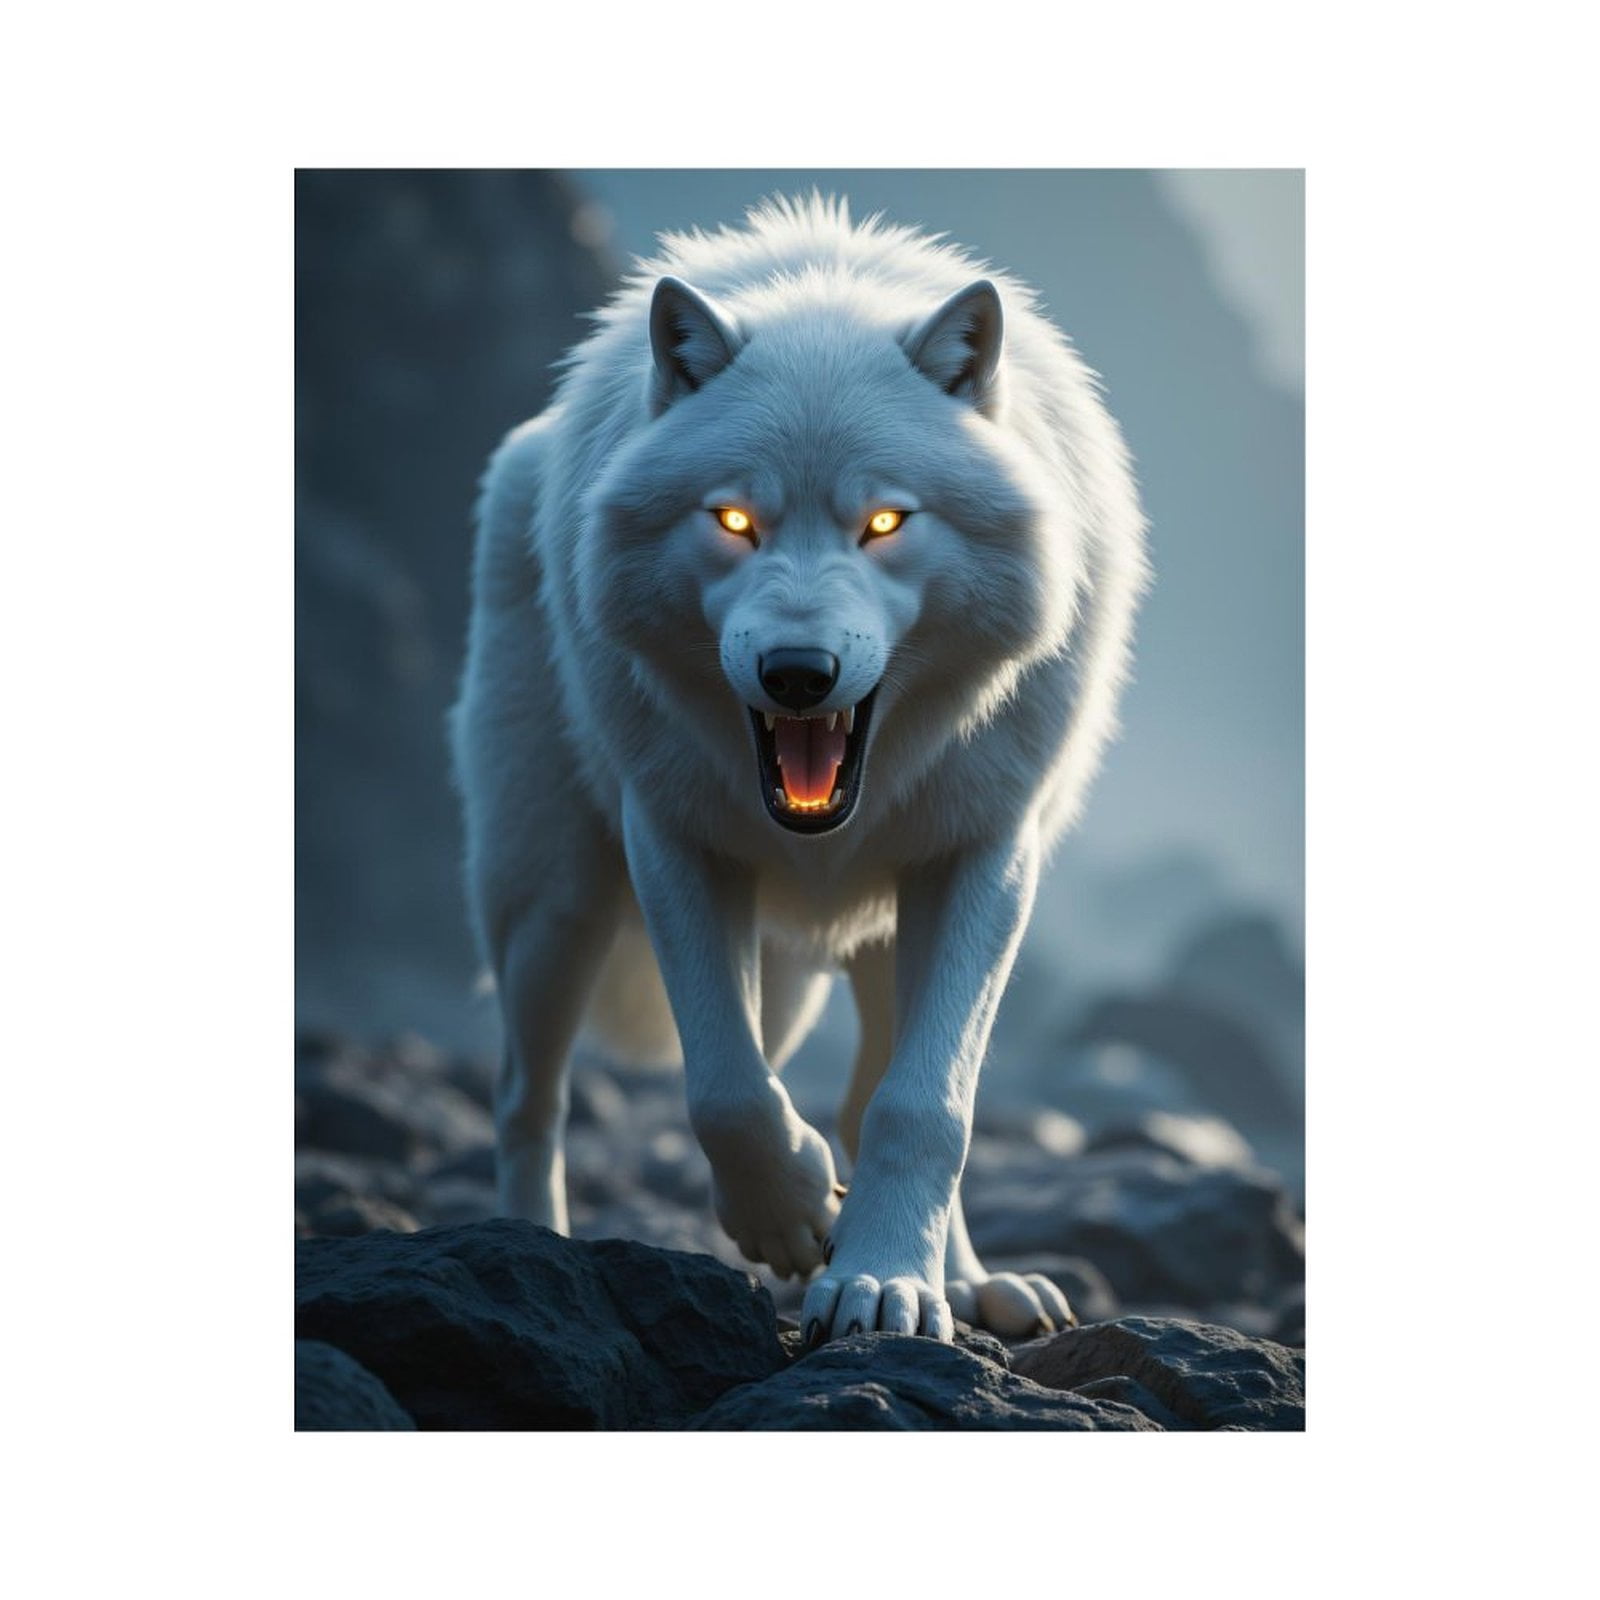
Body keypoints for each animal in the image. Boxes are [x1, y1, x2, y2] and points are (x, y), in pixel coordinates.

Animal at [450, 195, 1147, 1342]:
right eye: (736, 520)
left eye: (885, 522)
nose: (796, 672)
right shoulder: (671, 840)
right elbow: (725, 1087)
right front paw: (788, 1217)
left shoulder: (986, 859)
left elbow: (928, 1105)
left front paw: (885, 1283)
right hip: (550, 898)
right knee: (525, 1094)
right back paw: (531, 1244)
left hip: (887, 925)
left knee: (877, 1089)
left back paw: (971, 1282)